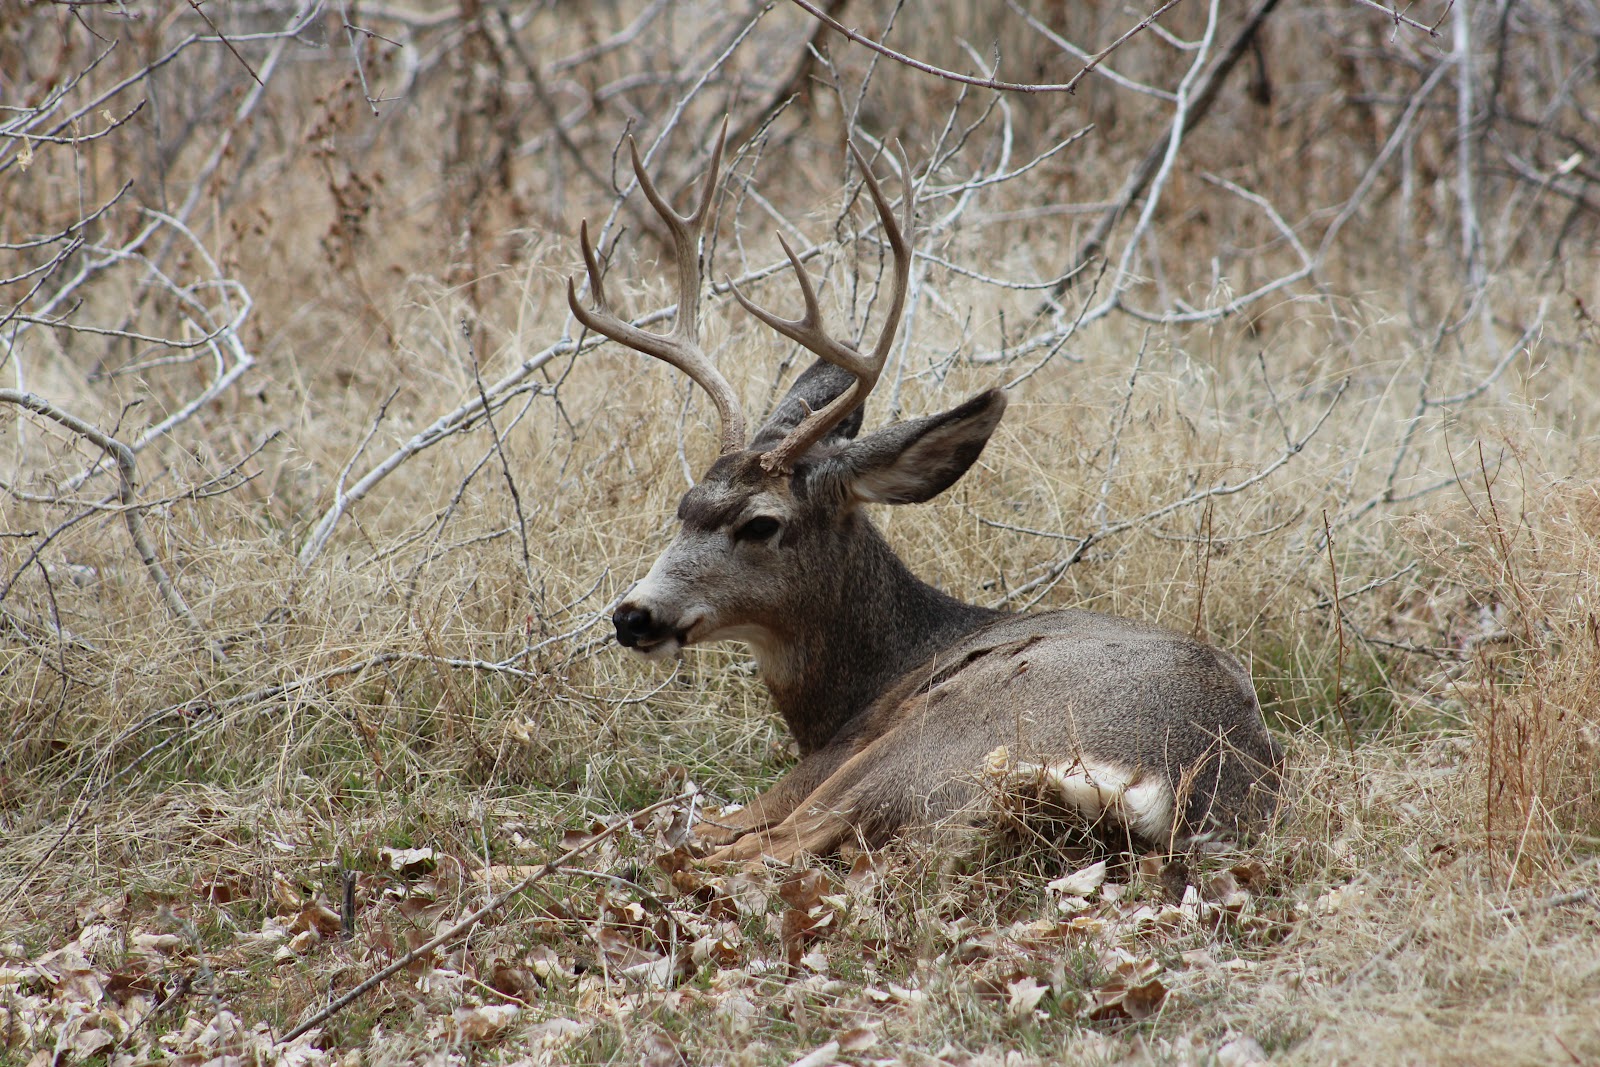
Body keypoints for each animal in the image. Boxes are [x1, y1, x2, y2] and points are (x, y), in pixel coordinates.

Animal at [567, 127, 1285, 865]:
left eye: (761, 524)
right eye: (683, 505)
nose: (633, 615)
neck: (881, 670)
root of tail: (1162, 790)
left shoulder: (838, 749)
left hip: (938, 736)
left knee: (768, 845)